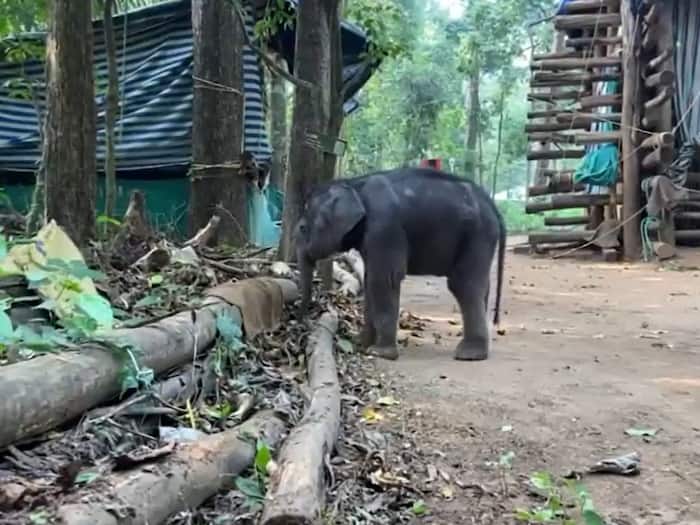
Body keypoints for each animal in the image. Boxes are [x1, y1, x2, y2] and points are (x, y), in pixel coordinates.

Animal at [293, 167, 506, 362]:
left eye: (303, 228)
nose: (302, 321)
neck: (354, 184)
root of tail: (491, 204)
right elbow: (369, 280)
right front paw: (361, 344)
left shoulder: (384, 227)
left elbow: (383, 280)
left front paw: (379, 353)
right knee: (480, 286)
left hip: (478, 235)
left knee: (463, 285)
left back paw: (468, 355)